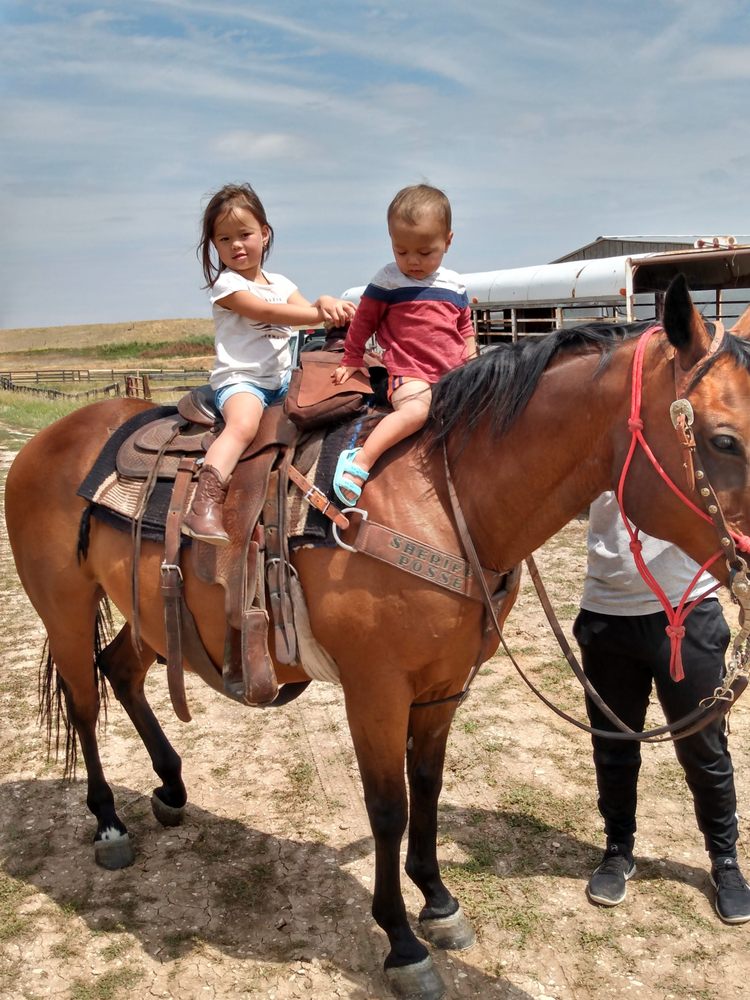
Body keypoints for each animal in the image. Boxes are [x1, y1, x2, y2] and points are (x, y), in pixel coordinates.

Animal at [6, 275, 750, 1000]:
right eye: (724, 440)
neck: (446, 501)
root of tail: (50, 440)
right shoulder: (376, 691)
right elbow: (389, 808)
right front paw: (402, 942)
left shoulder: (442, 690)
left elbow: (428, 789)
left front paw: (439, 902)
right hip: (66, 608)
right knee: (84, 701)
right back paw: (109, 823)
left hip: (150, 616)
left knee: (120, 671)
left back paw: (170, 789)